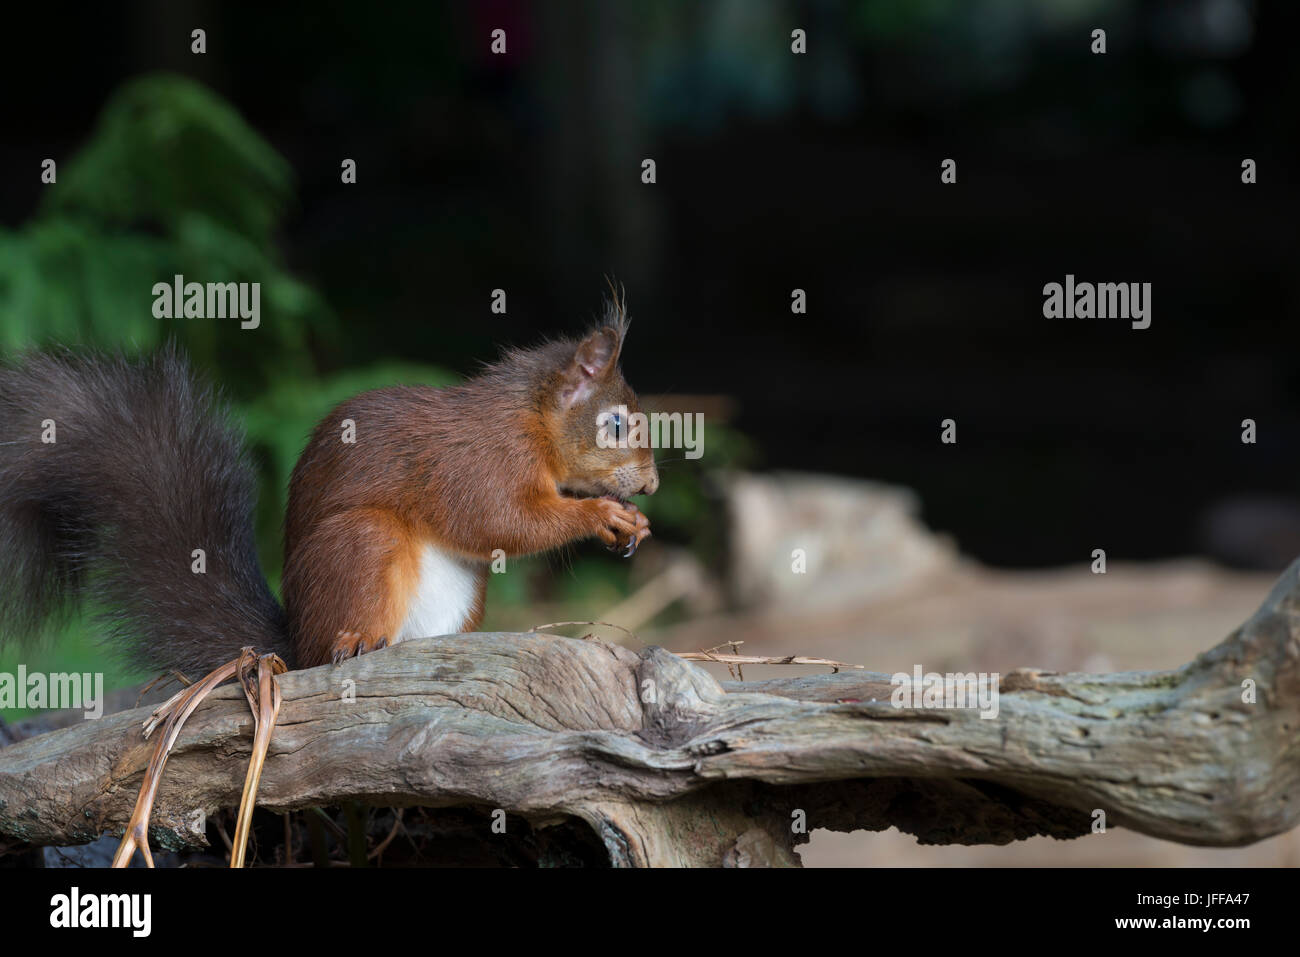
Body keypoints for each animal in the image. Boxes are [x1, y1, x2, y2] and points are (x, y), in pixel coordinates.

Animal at [0, 296, 657, 677]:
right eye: (614, 424)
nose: (651, 484)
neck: (530, 421)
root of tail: (291, 648)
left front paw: (633, 525)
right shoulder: (478, 463)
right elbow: (500, 521)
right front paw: (602, 515)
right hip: (362, 543)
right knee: (333, 645)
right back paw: (356, 644)